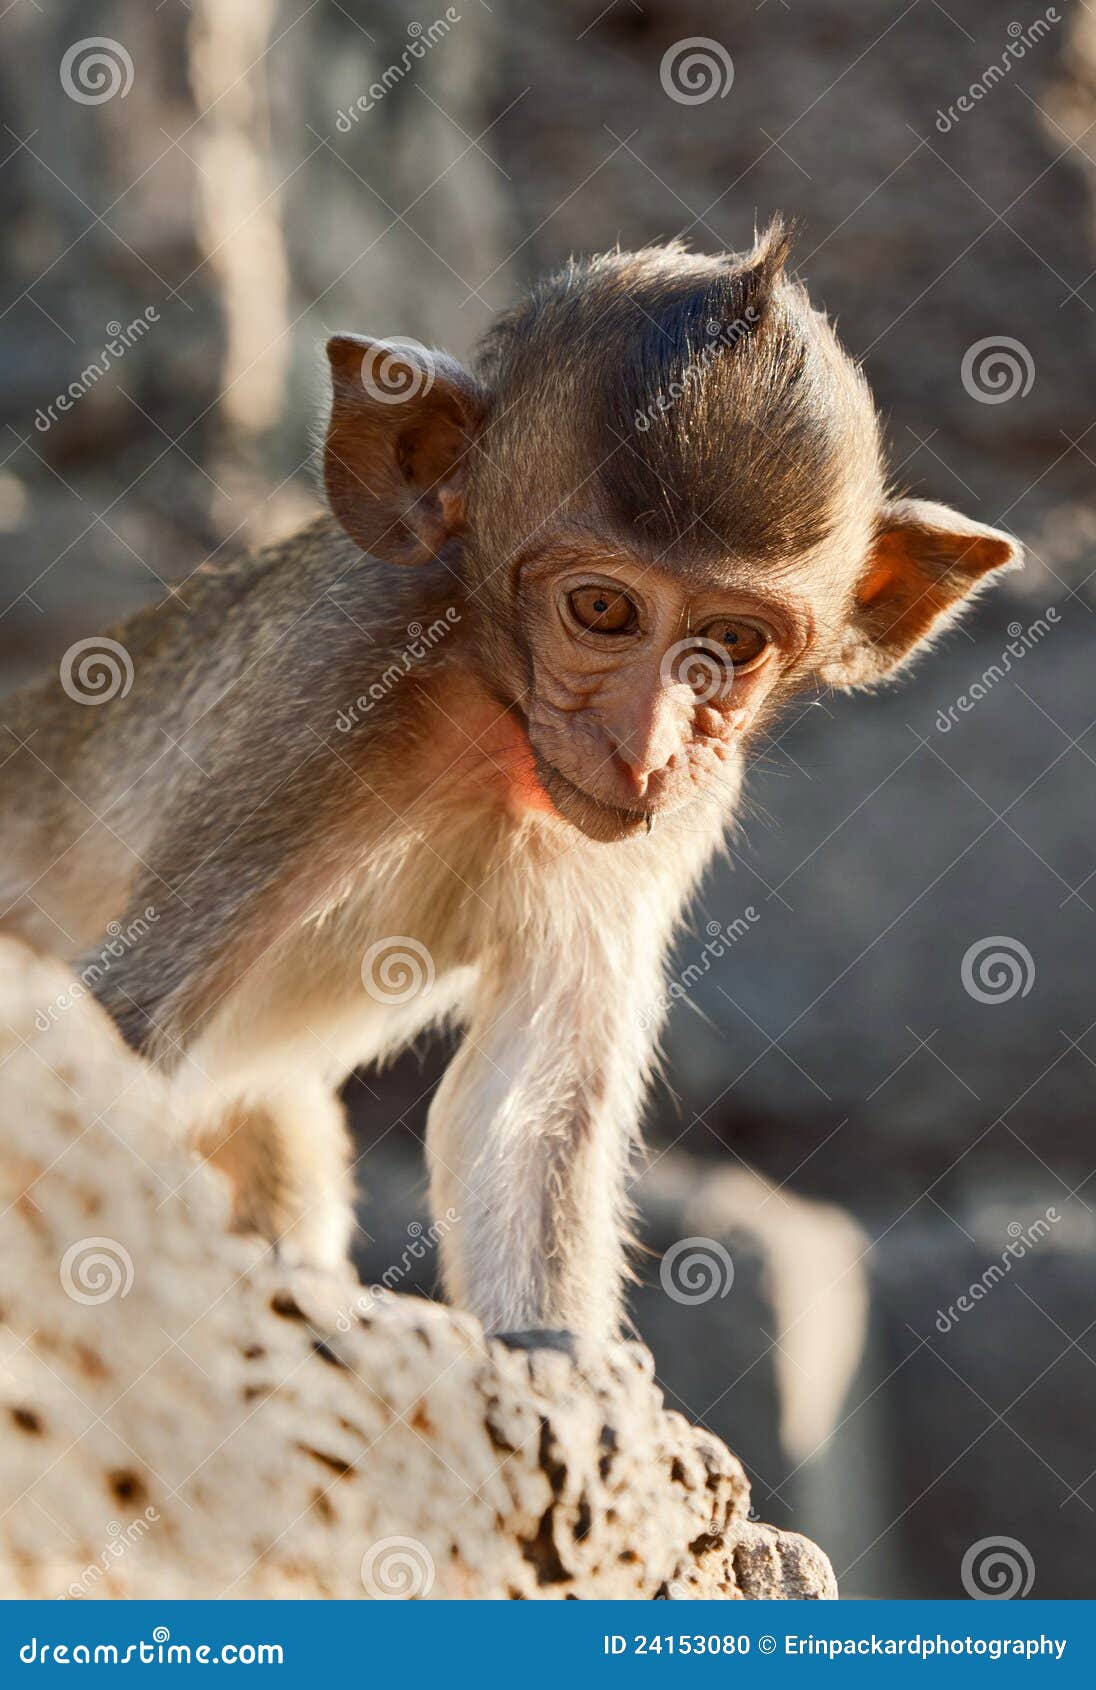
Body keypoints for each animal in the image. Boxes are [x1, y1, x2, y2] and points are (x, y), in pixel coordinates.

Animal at [0, 221, 1020, 1338]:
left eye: (731, 645)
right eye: (604, 611)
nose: (648, 744)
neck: (496, 710)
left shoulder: (667, 819)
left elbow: (524, 1098)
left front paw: (551, 1348)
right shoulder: (329, 689)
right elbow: (127, 1015)